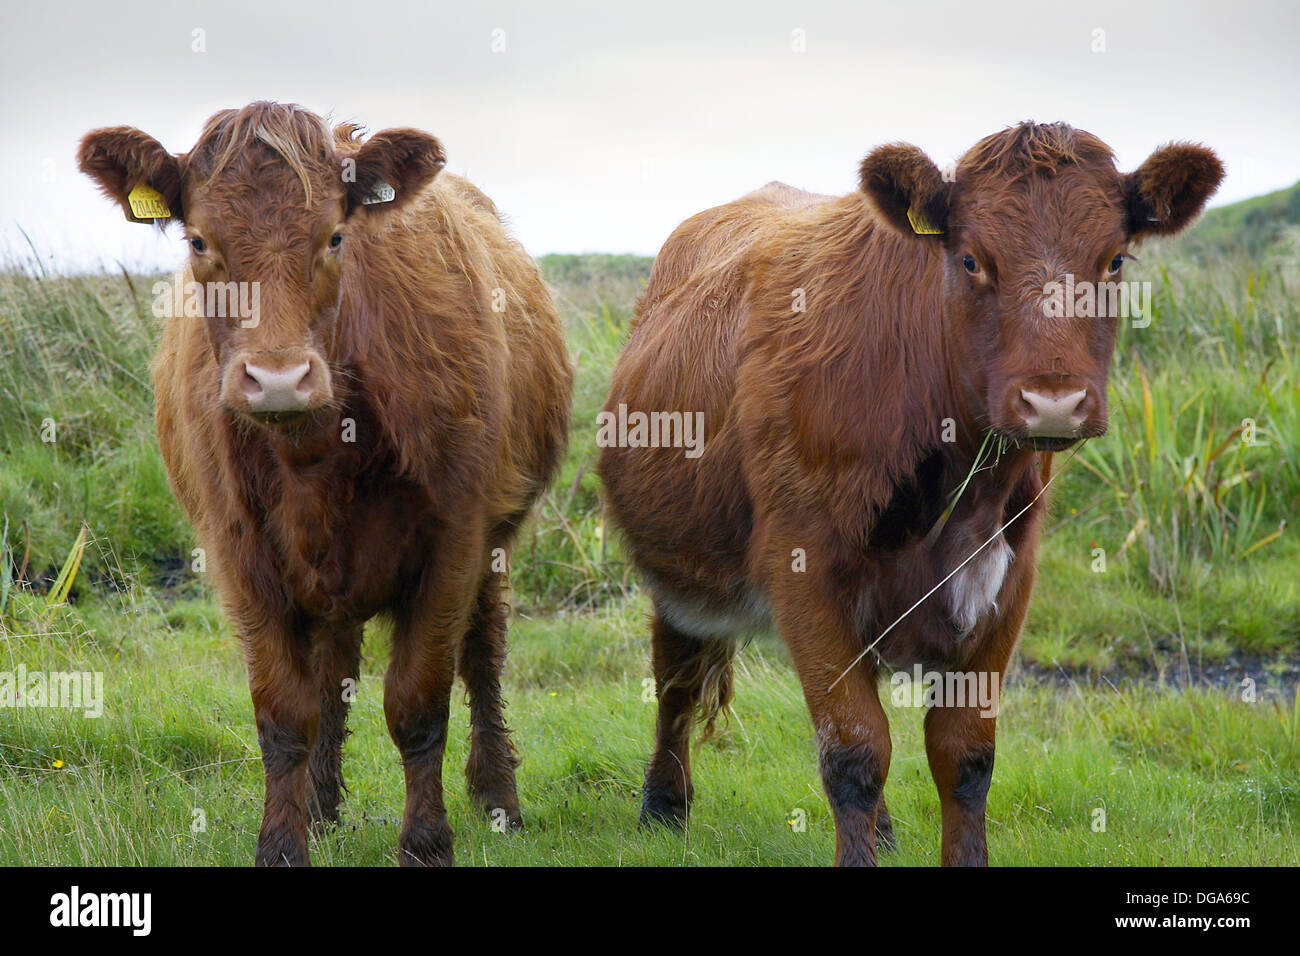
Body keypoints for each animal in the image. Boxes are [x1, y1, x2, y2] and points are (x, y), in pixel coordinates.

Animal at [78, 102, 572, 866]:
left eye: (336, 235)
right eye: (198, 240)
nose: (278, 378)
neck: (312, 454)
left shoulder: (454, 541)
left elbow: (418, 703)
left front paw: (426, 843)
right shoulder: (237, 552)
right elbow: (286, 712)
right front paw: (284, 843)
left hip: (496, 540)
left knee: (483, 655)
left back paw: (498, 799)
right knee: (335, 671)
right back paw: (323, 803)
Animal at [598, 122, 1222, 866]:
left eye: (1116, 261)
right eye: (972, 260)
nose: (1053, 403)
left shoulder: (1008, 586)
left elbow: (964, 756)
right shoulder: (806, 575)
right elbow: (854, 751)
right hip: (679, 567)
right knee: (675, 678)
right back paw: (664, 804)